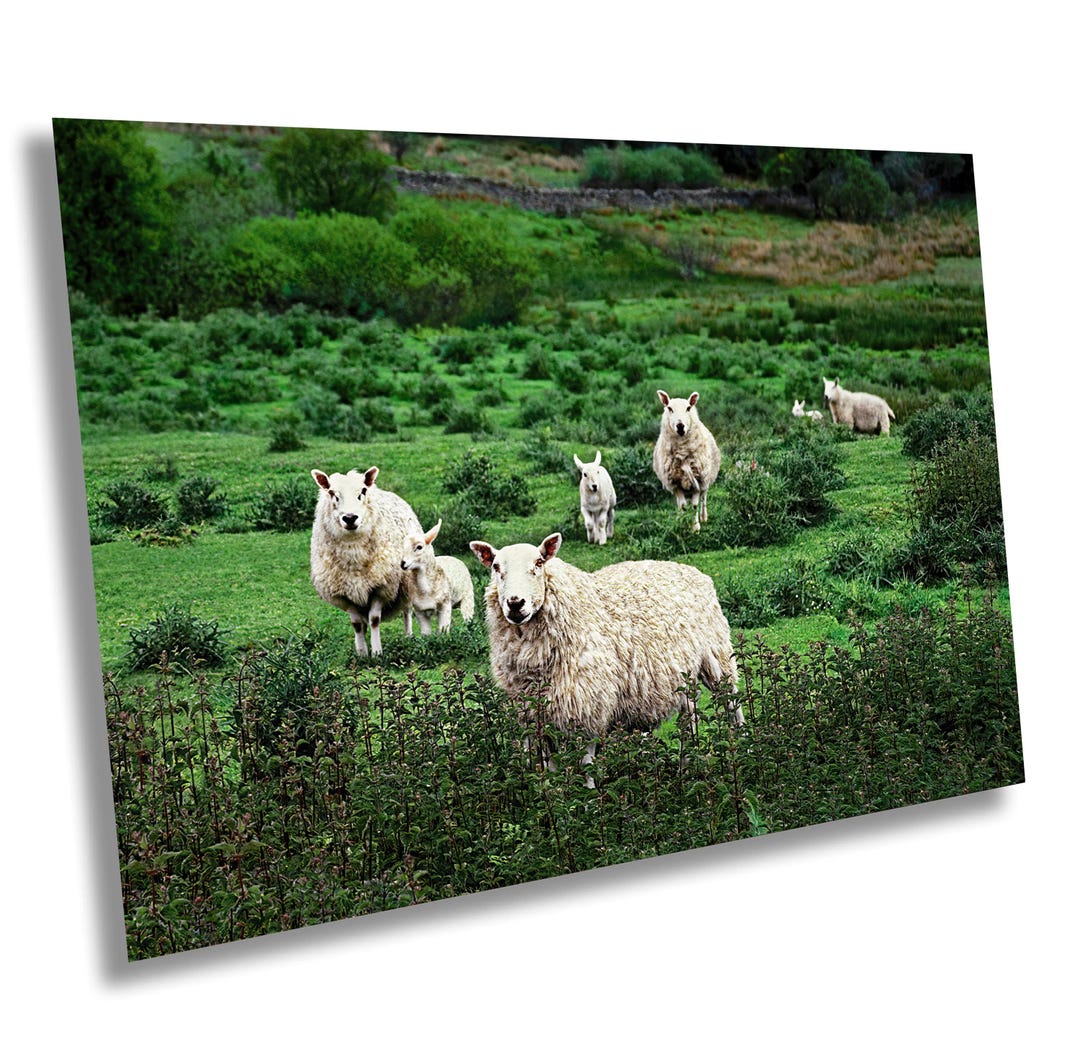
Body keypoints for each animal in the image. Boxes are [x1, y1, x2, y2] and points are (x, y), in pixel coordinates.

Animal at [310, 465, 420, 657]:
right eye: (332, 494)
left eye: (362, 492)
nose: (350, 518)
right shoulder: (344, 594)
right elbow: (357, 625)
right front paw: (362, 653)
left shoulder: (381, 587)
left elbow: (374, 620)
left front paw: (377, 653)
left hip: (405, 583)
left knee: (407, 610)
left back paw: (408, 636)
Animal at [469, 532, 743, 782]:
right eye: (496, 567)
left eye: (538, 563)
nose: (515, 603)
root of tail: (690, 569)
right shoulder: (534, 713)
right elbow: (550, 763)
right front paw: (554, 794)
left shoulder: (589, 704)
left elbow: (586, 762)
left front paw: (589, 797)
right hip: (683, 674)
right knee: (690, 715)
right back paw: (685, 768)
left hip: (717, 657)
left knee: (732, 702)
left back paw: (744, 746)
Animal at [651, 389, 721, 533]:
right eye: (669, 408)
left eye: (688, 408)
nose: (680, 426)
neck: (682, 453)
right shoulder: (675, 483)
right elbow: (683, 506)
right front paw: (682, 524)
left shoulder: (698, 480)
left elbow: (694, 505)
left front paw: (695, 527)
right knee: (680, 504)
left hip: (706, 479)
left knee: (704, 498)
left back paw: (703, 517)